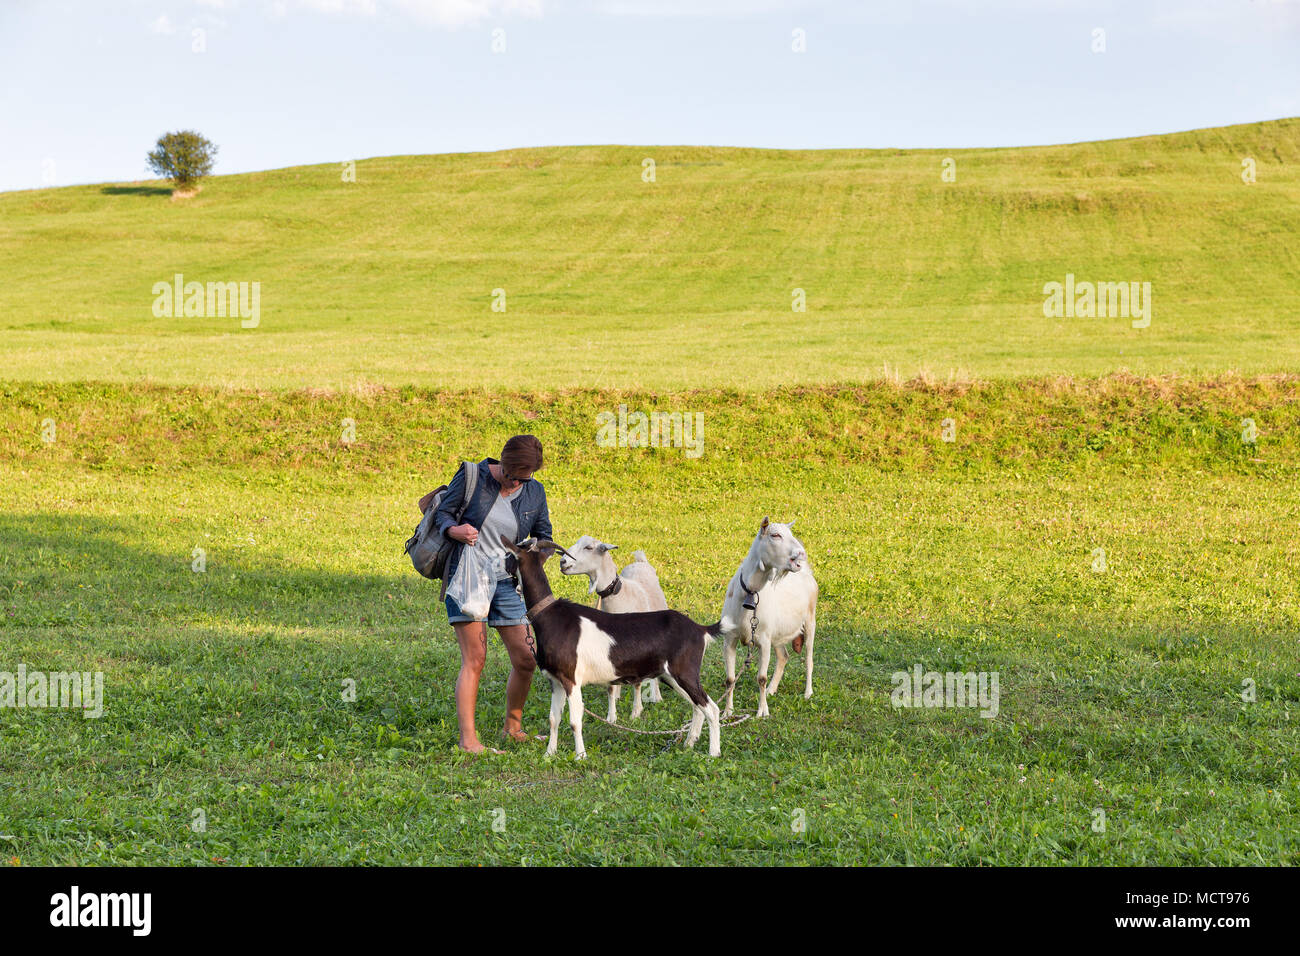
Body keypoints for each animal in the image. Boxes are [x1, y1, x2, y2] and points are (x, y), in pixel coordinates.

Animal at [559, 536, 668, 721]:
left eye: (589, 547)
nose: (563, 561)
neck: (620, 597)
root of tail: (640, 562)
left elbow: (637, 683)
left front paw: (635, 712)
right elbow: (610, 685)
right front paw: (611, 716)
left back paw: (656, 696)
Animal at [718, 516, 818, 718]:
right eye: (775, 535)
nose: (801, 554)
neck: (750, 593)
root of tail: (806, 572)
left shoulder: (763, 641)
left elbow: (761, 678)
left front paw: (762, 711)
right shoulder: (730, 639)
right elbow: (730, 679)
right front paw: (727, 712)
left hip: (810, 621)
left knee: (809, 659)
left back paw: (807, 693)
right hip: (777, 634)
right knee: (784, 656)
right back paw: (773, 689)